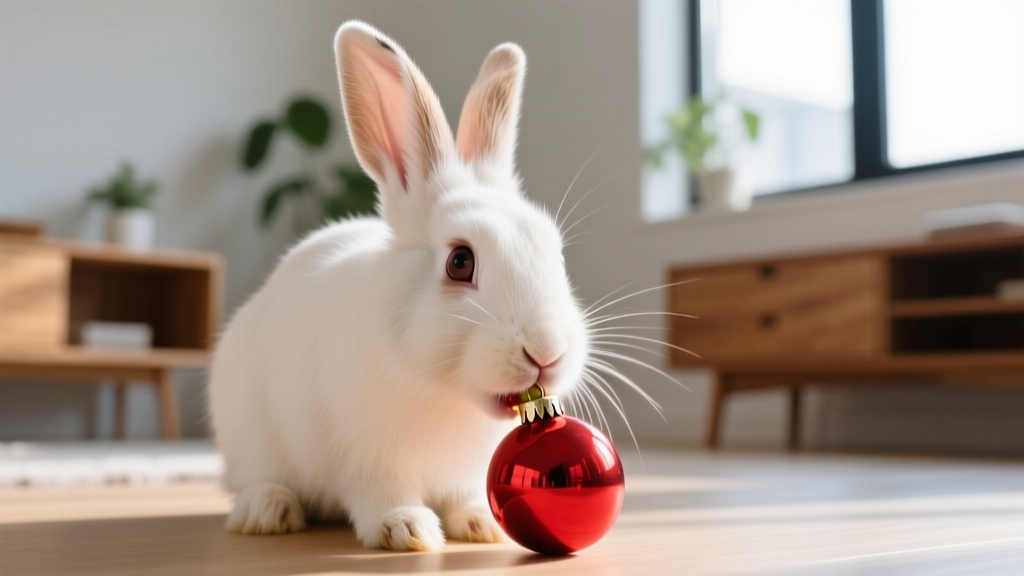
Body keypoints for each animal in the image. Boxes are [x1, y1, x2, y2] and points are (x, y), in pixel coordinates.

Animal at [207, 20, 589, 551]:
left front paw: (482, 524)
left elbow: (463, 496)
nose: (546, 351)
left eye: (556, 254)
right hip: (250, 436)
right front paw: (406, 530)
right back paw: (269, 511)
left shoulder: (461, 471)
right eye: (459, 262)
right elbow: (382, 495)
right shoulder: (366, 459)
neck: (446, 394)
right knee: (256, 480)